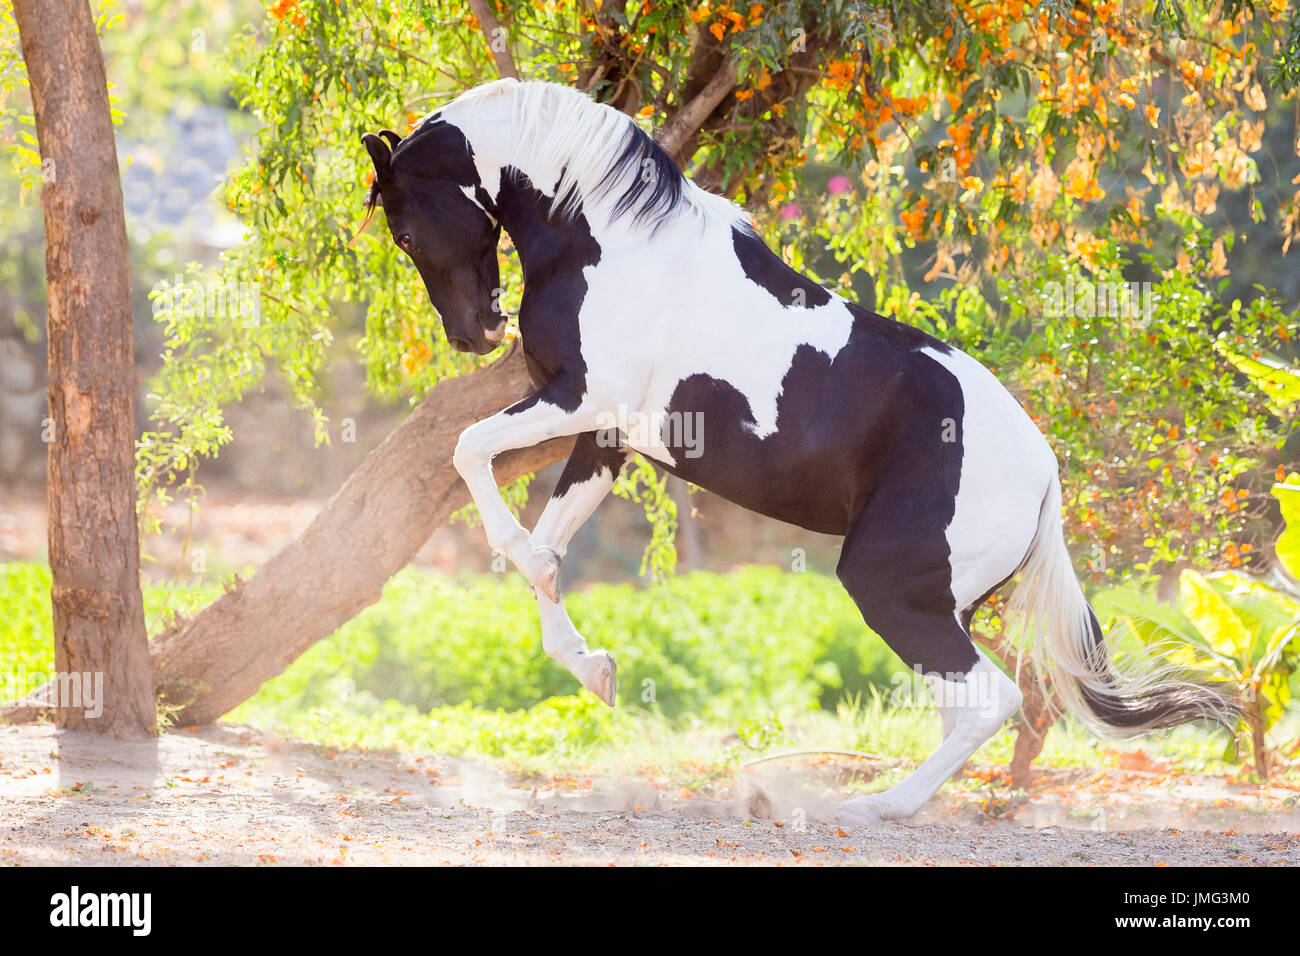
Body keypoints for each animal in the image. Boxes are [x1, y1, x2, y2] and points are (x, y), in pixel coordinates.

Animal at [359, 78, 1235, 824]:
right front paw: (593, 668)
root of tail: (1045, 476)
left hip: (887, 585)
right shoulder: (607, 435)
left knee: (988, 702)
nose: (475, 332)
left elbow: (469, 453)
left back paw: (874, 807)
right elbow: (546, 553)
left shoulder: (582, 400)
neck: (609, 244)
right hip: (945, 601)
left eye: (403, 228)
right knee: (978, 703)